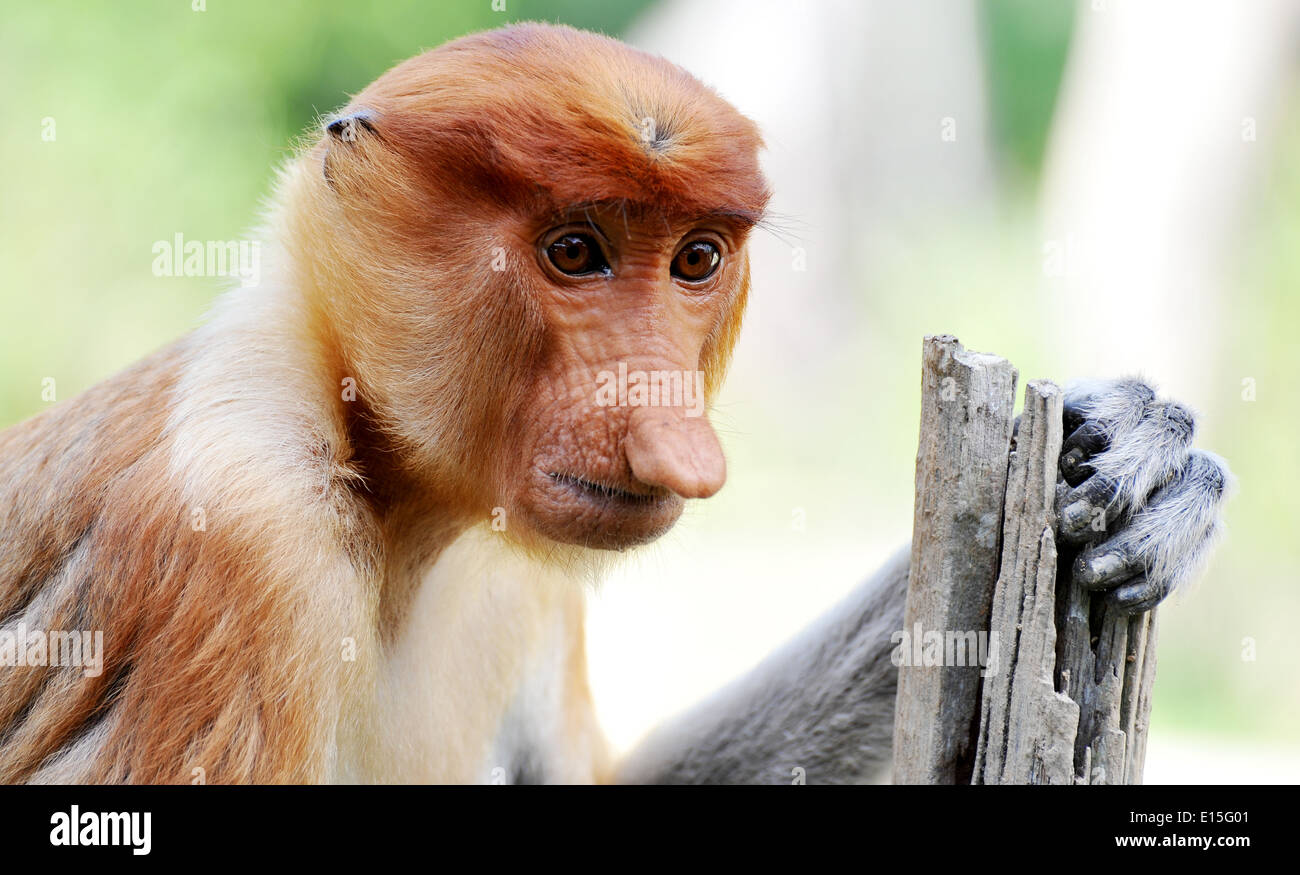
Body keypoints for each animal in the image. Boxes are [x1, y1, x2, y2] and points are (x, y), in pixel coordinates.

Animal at [0, 23, 1231, 784]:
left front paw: (1141, 461)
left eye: (695, 259)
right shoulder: (233, 536)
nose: (673, 440)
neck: (387, 504)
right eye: (574, 251)